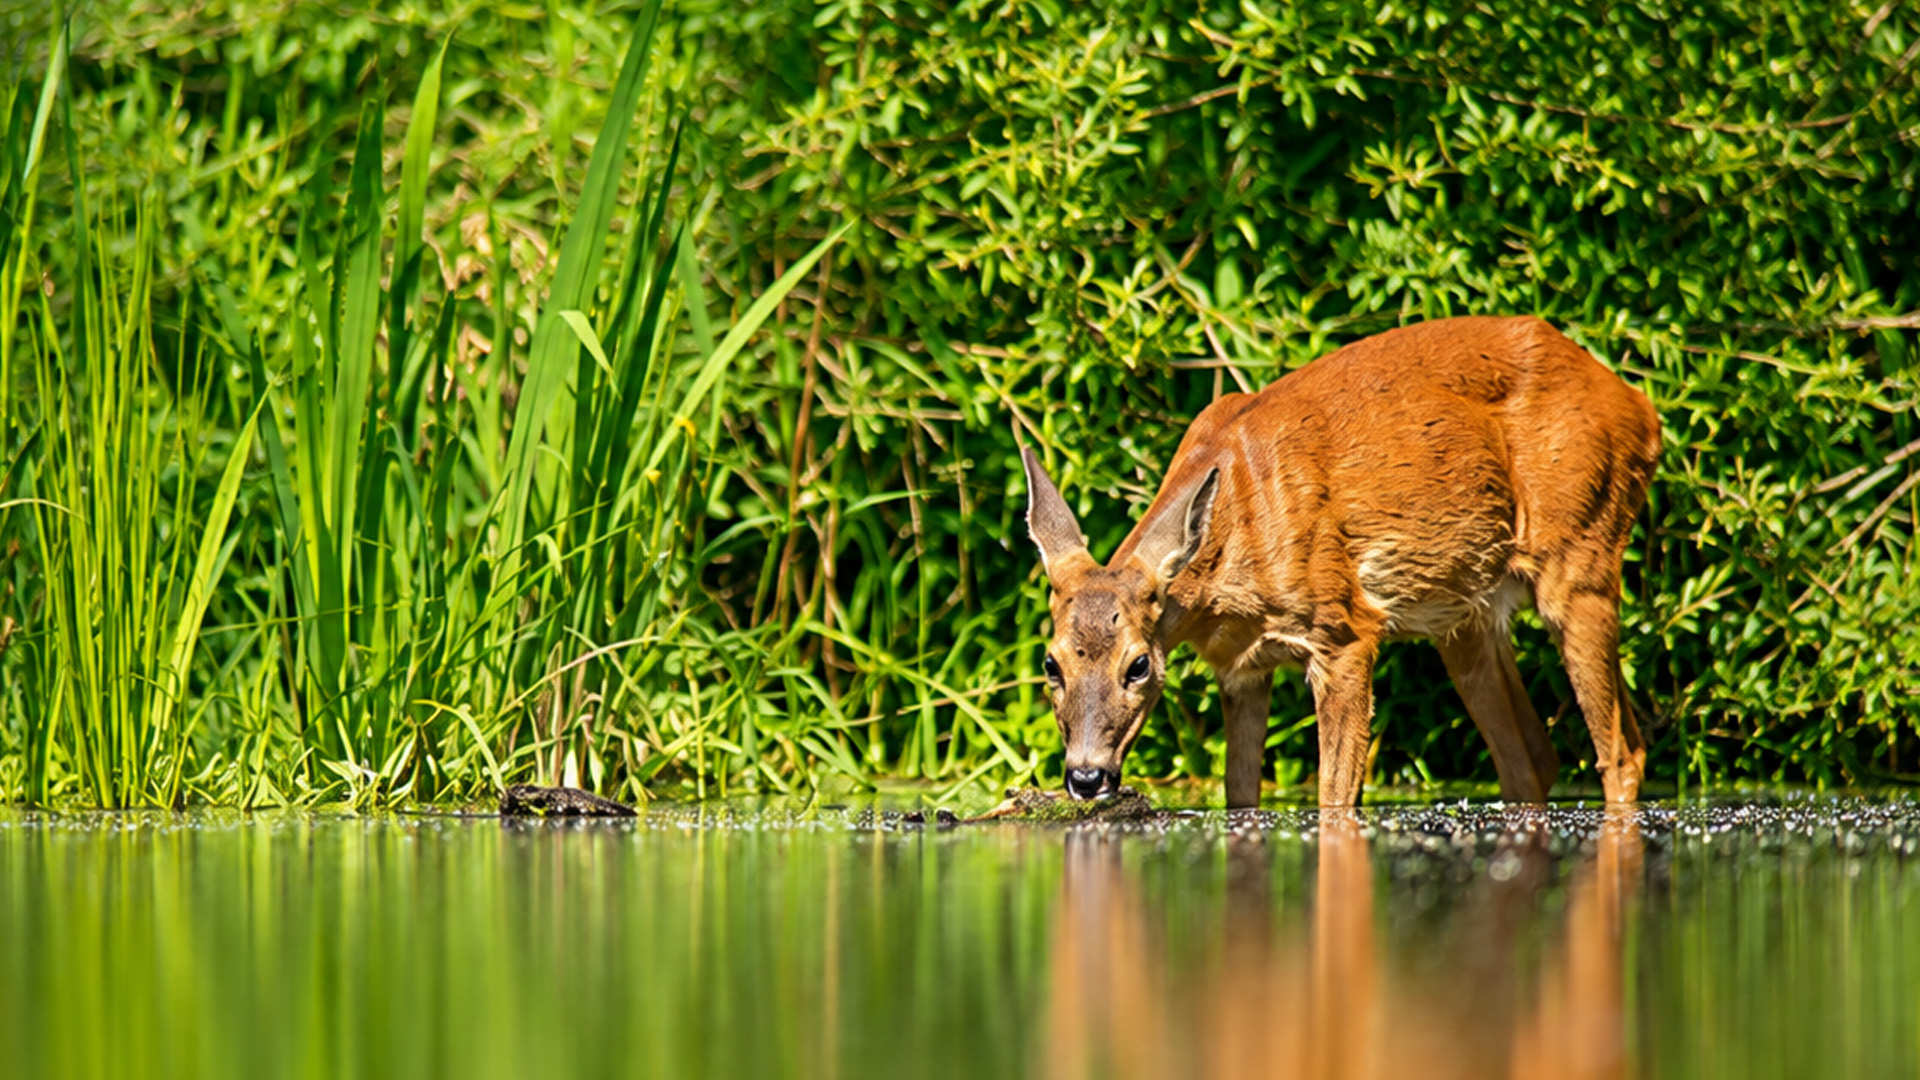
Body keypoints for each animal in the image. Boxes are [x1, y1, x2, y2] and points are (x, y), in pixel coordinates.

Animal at [1021, 316, 1661, 808]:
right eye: (1051, 663)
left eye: (1138, 666)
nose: (1086, 777)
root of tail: (1642, 411)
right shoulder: (1241, 670)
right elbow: (1240, 796)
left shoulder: (1345, 630)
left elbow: (1335, 796)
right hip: (1466, 619)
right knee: (1533, 758)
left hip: (1580, 552)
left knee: (1622, 752)